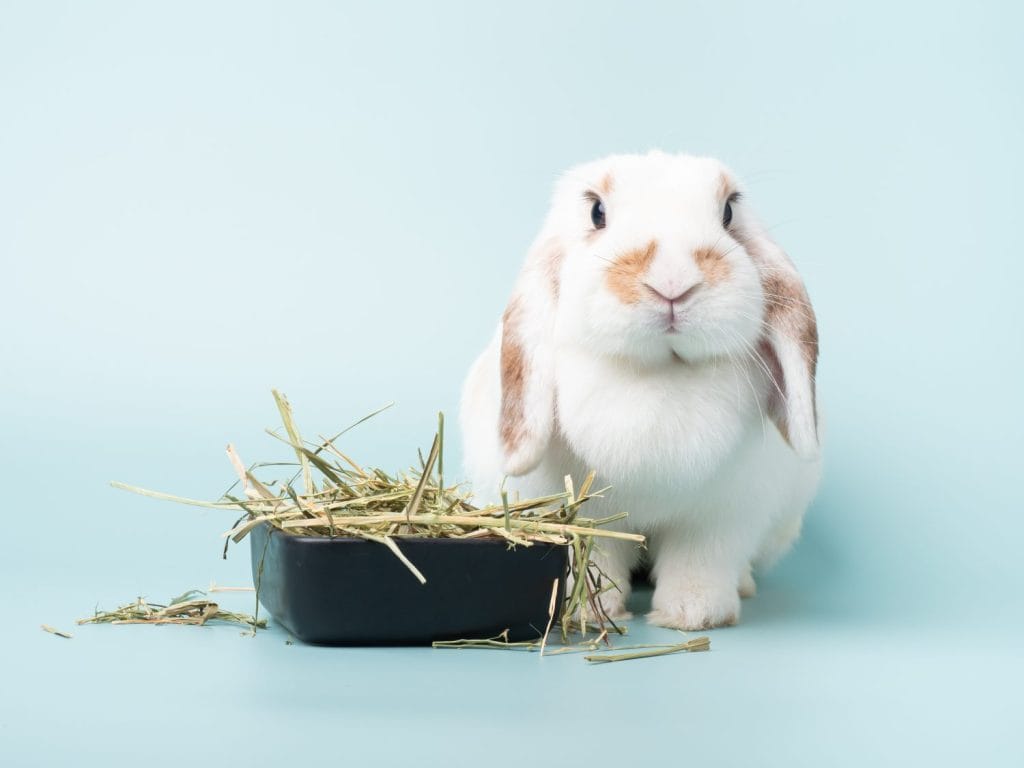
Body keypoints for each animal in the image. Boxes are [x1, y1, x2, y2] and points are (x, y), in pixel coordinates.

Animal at [459, 151, 821, 630]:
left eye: (728, 213)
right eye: (596, 212)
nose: (673, 282)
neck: (658, 374)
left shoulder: (721, 517)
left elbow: (699, 562)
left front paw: (694, 615)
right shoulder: (586, 514)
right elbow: (594, 559)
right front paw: (589, 612)